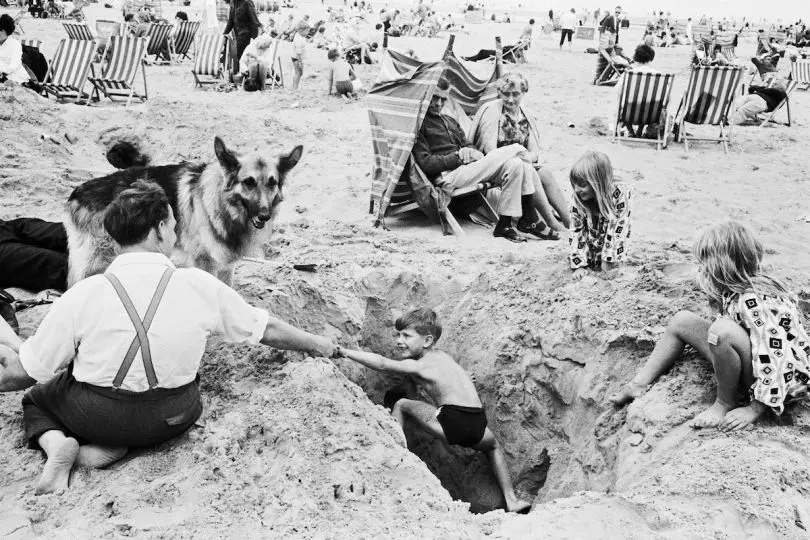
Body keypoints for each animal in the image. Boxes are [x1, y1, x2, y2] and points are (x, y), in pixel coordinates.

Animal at [64, 137, 304, 286]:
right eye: (249, 182)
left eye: (272, 183)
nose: (264, 215)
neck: (221, 204)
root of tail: (75, 194)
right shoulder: (204, 263)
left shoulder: (226, 265)